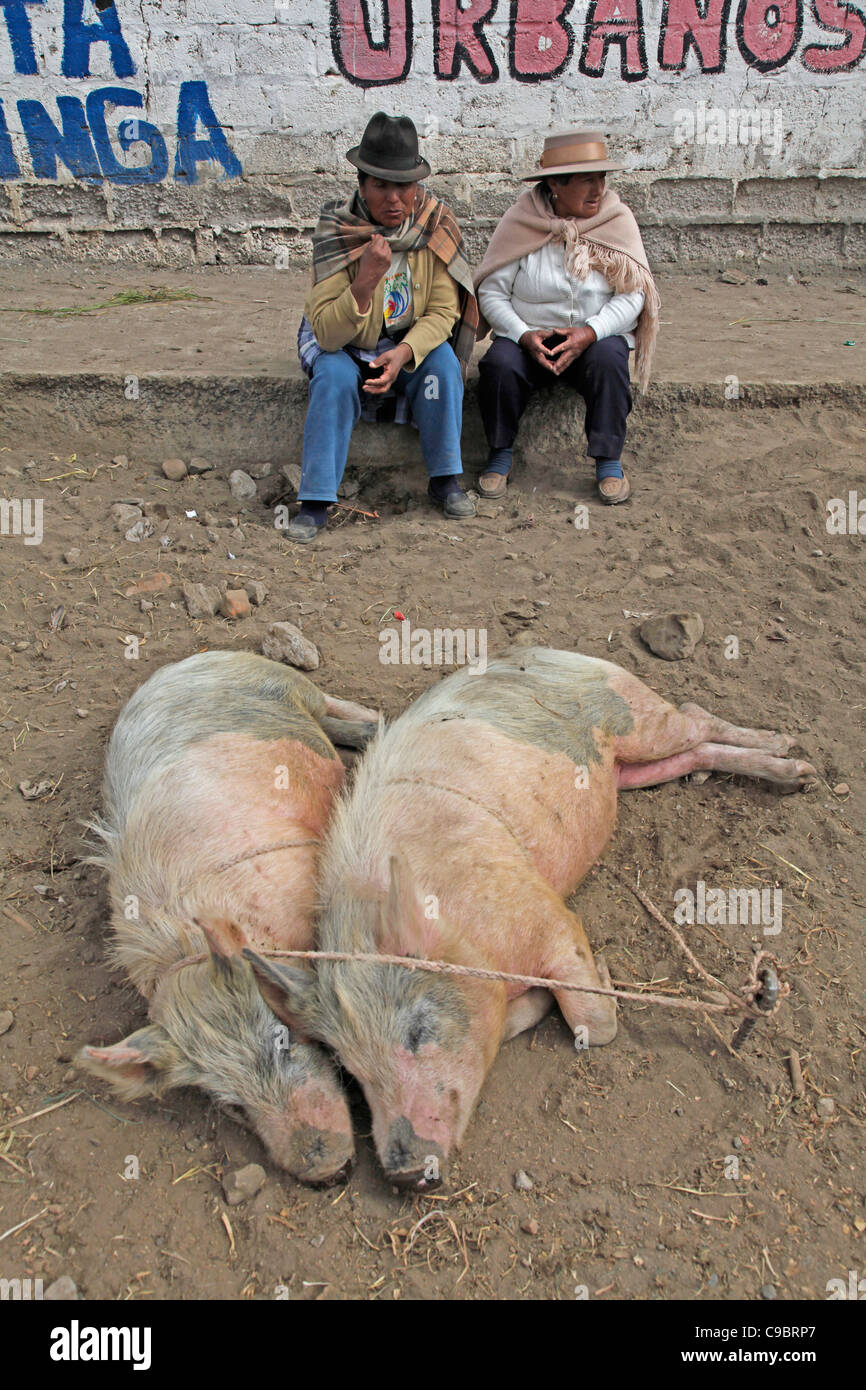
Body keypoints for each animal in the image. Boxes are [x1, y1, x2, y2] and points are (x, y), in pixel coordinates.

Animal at [77, 649, 378, 1185]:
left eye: (283, 1039)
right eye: (232, 1103)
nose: (329, 1172)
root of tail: (191, 660)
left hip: (282, 683)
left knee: (330, 706)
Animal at [246, 646, 816, 1190]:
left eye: (419, 1029)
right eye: (349, 1067)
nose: (405, 1174)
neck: (466, 932)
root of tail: (545, 652)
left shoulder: (551, 920)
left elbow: (593, 1022)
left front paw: (599, 977)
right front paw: (537, 1003)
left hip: (633, 715)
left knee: (696, 716)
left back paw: (796, 762)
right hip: (629, 771)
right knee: (689, 750)